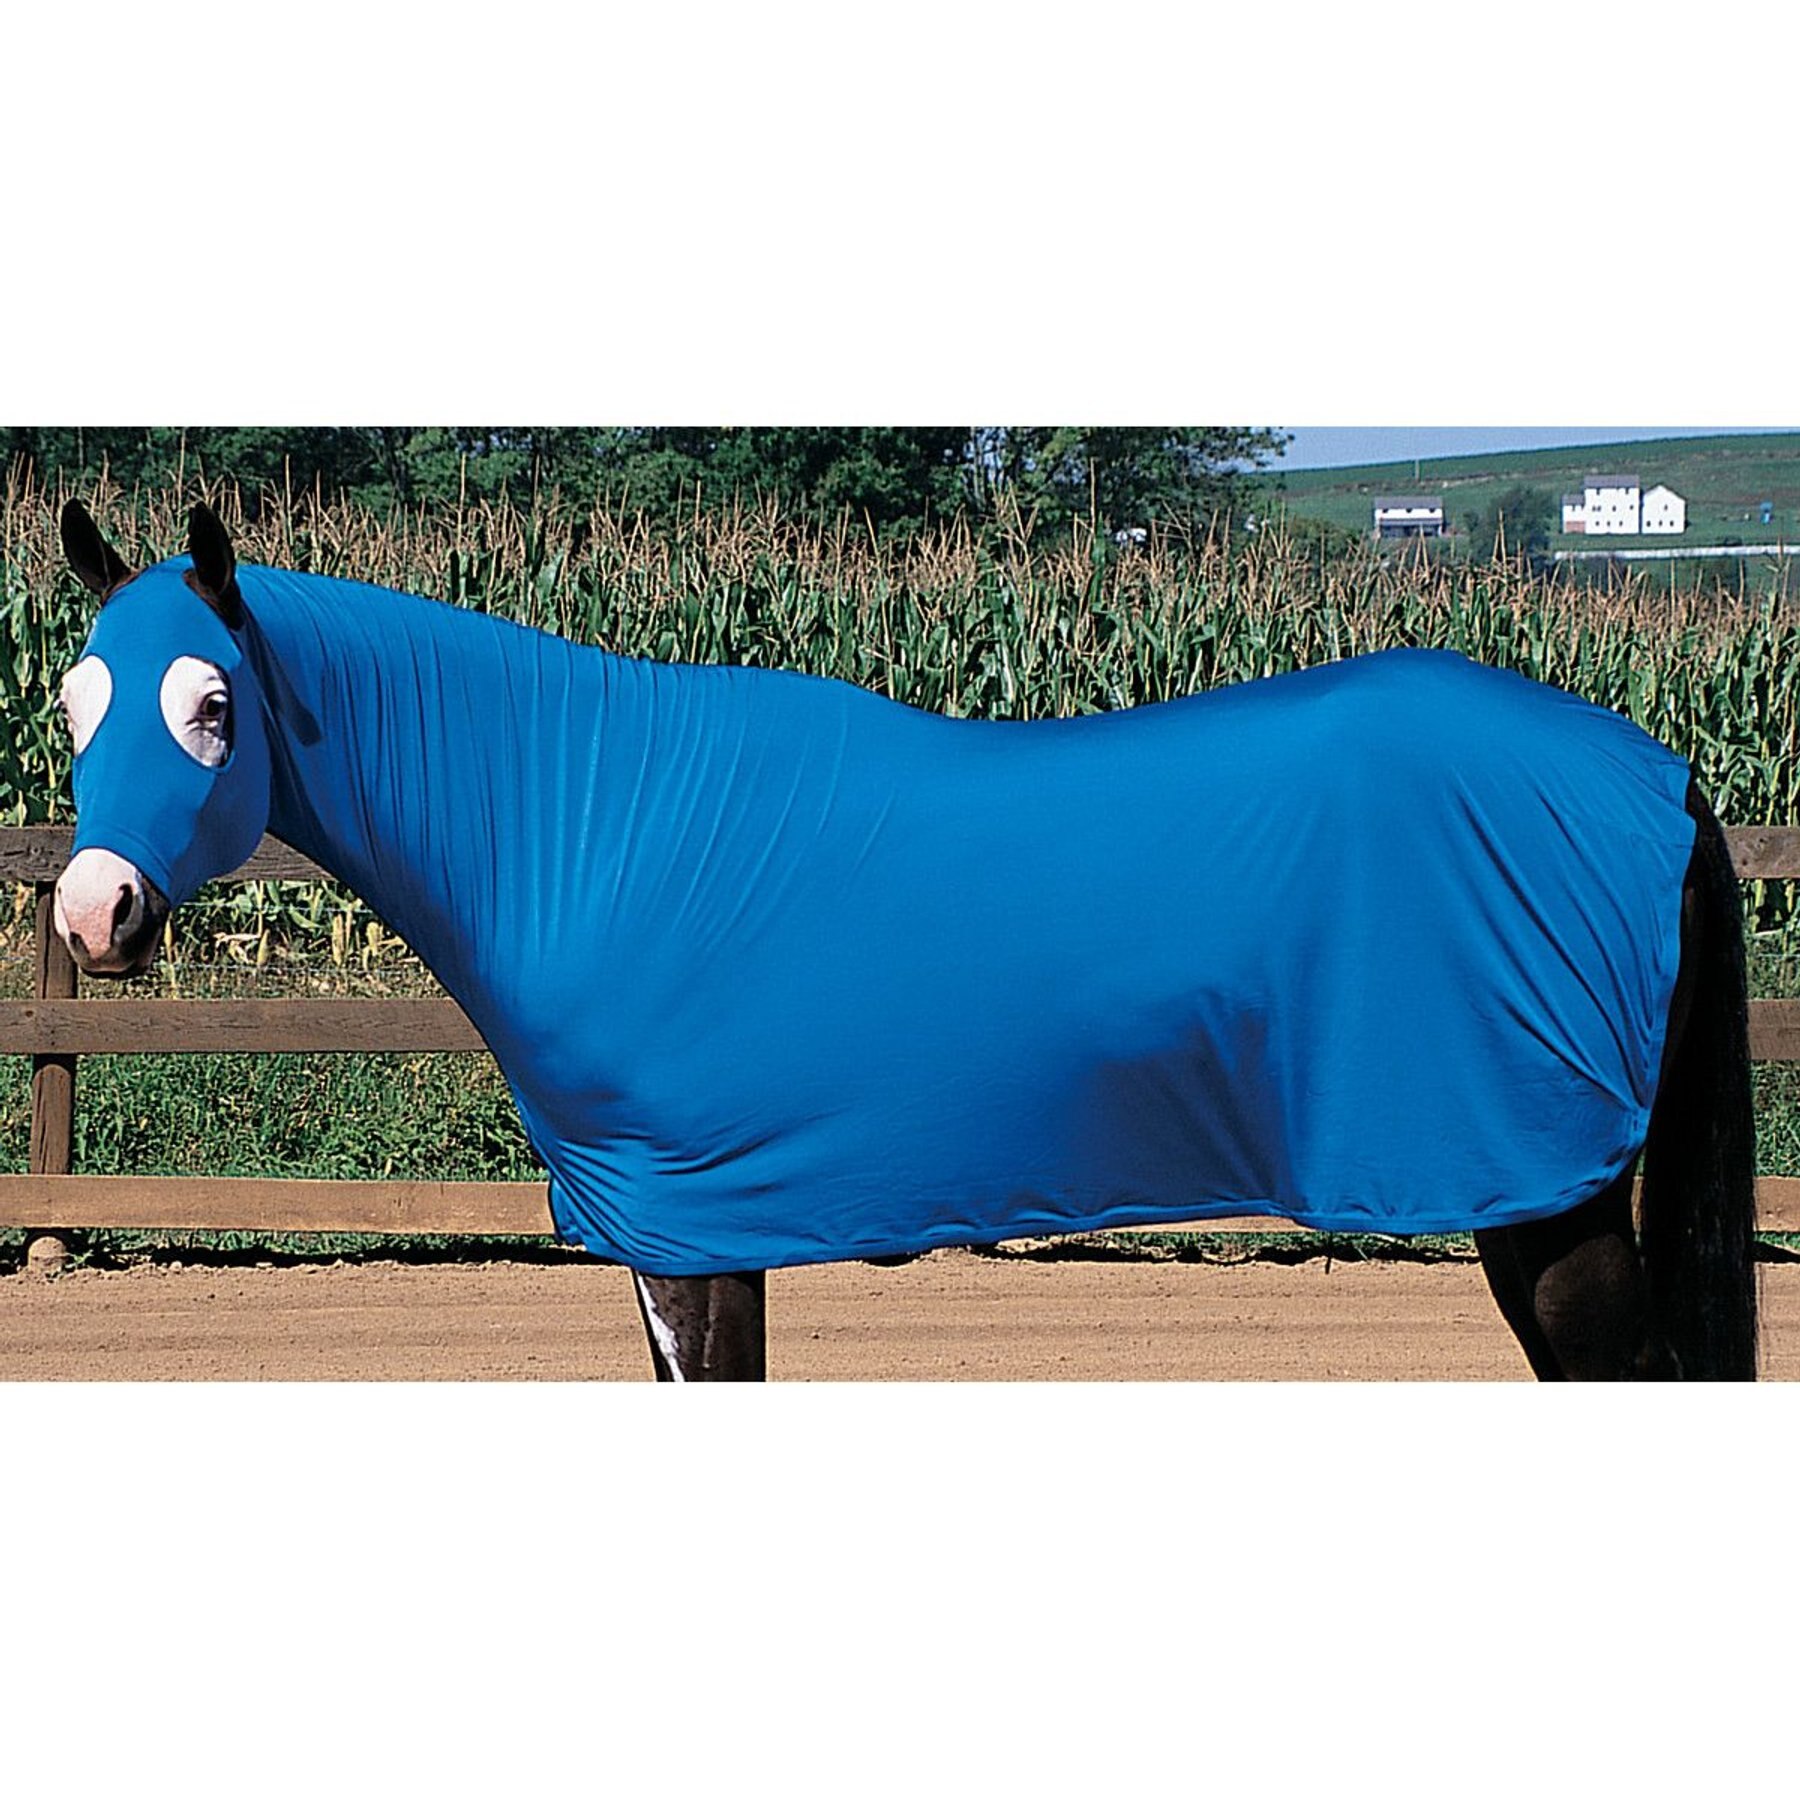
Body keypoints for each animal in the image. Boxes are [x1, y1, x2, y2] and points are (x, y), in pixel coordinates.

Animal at [50, 499, 1758, 1380]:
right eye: (71, 699)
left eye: (211, 707)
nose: (91, 914)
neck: (594, 832)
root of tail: (1658, 774)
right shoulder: (678, 1236)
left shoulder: (694, 1232)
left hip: (1544, 1205)